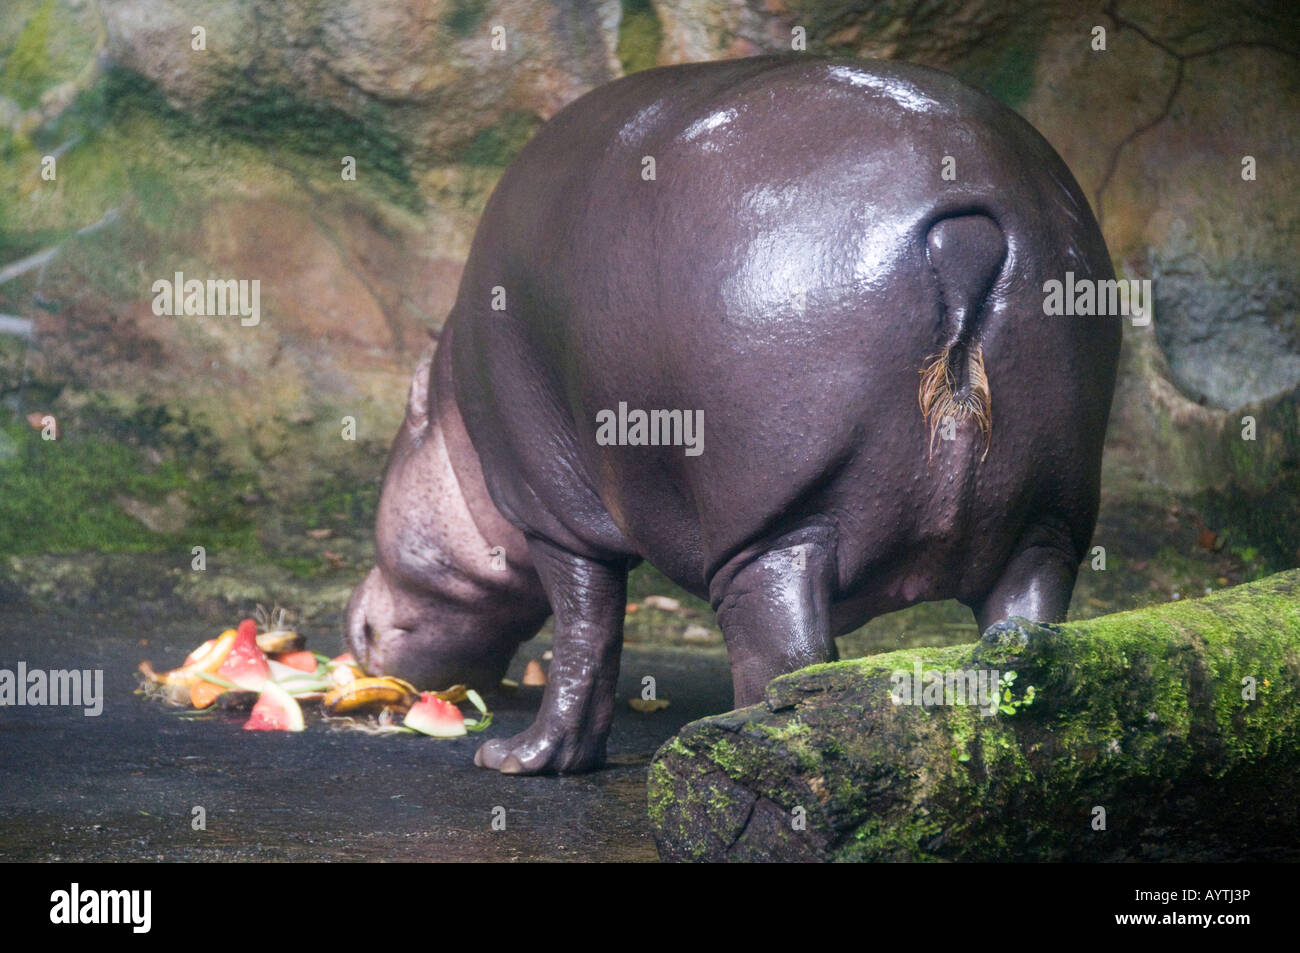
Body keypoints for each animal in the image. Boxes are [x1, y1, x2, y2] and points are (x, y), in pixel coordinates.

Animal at [346, 55, 1121, 774]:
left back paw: (729, 756)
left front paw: (516, 759)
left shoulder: (550, 504)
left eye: (400, 440)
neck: (452, 421)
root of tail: (969, 224)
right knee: (1027, 636)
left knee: (785, 660)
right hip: (1047, 513)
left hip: (774, 529)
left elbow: (584, 628)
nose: (354, 629)